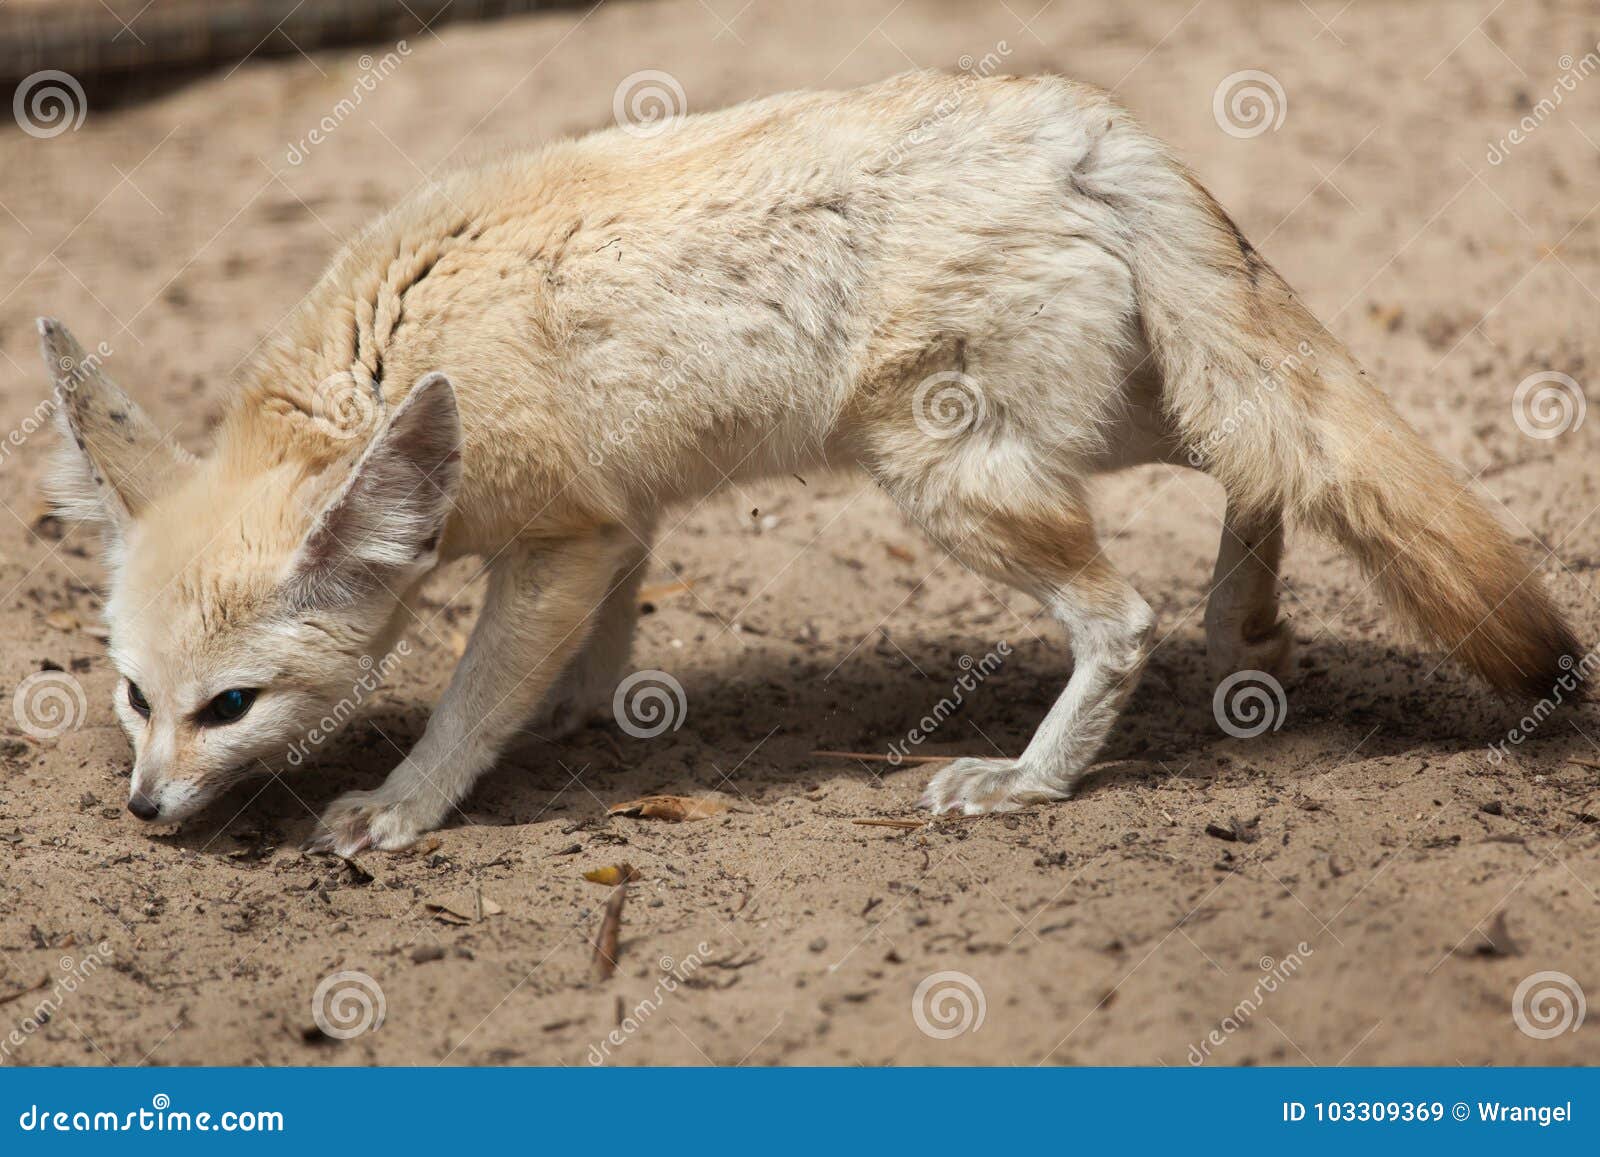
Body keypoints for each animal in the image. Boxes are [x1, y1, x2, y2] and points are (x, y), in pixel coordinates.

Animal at [39, 71, 1580, 855]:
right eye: (132, 697)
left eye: (229, 707)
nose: (146, 809)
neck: (395, 358)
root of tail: (1081, 122)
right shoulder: (615, 522)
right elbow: (583, 648)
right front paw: (577, 714)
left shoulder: (563, 536)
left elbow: (472, 697)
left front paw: (409, 803)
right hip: (1095, 415)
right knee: (1259, 458)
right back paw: (1245, 620)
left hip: (948, 471)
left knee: (1125, 611)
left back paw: (1032, 779)